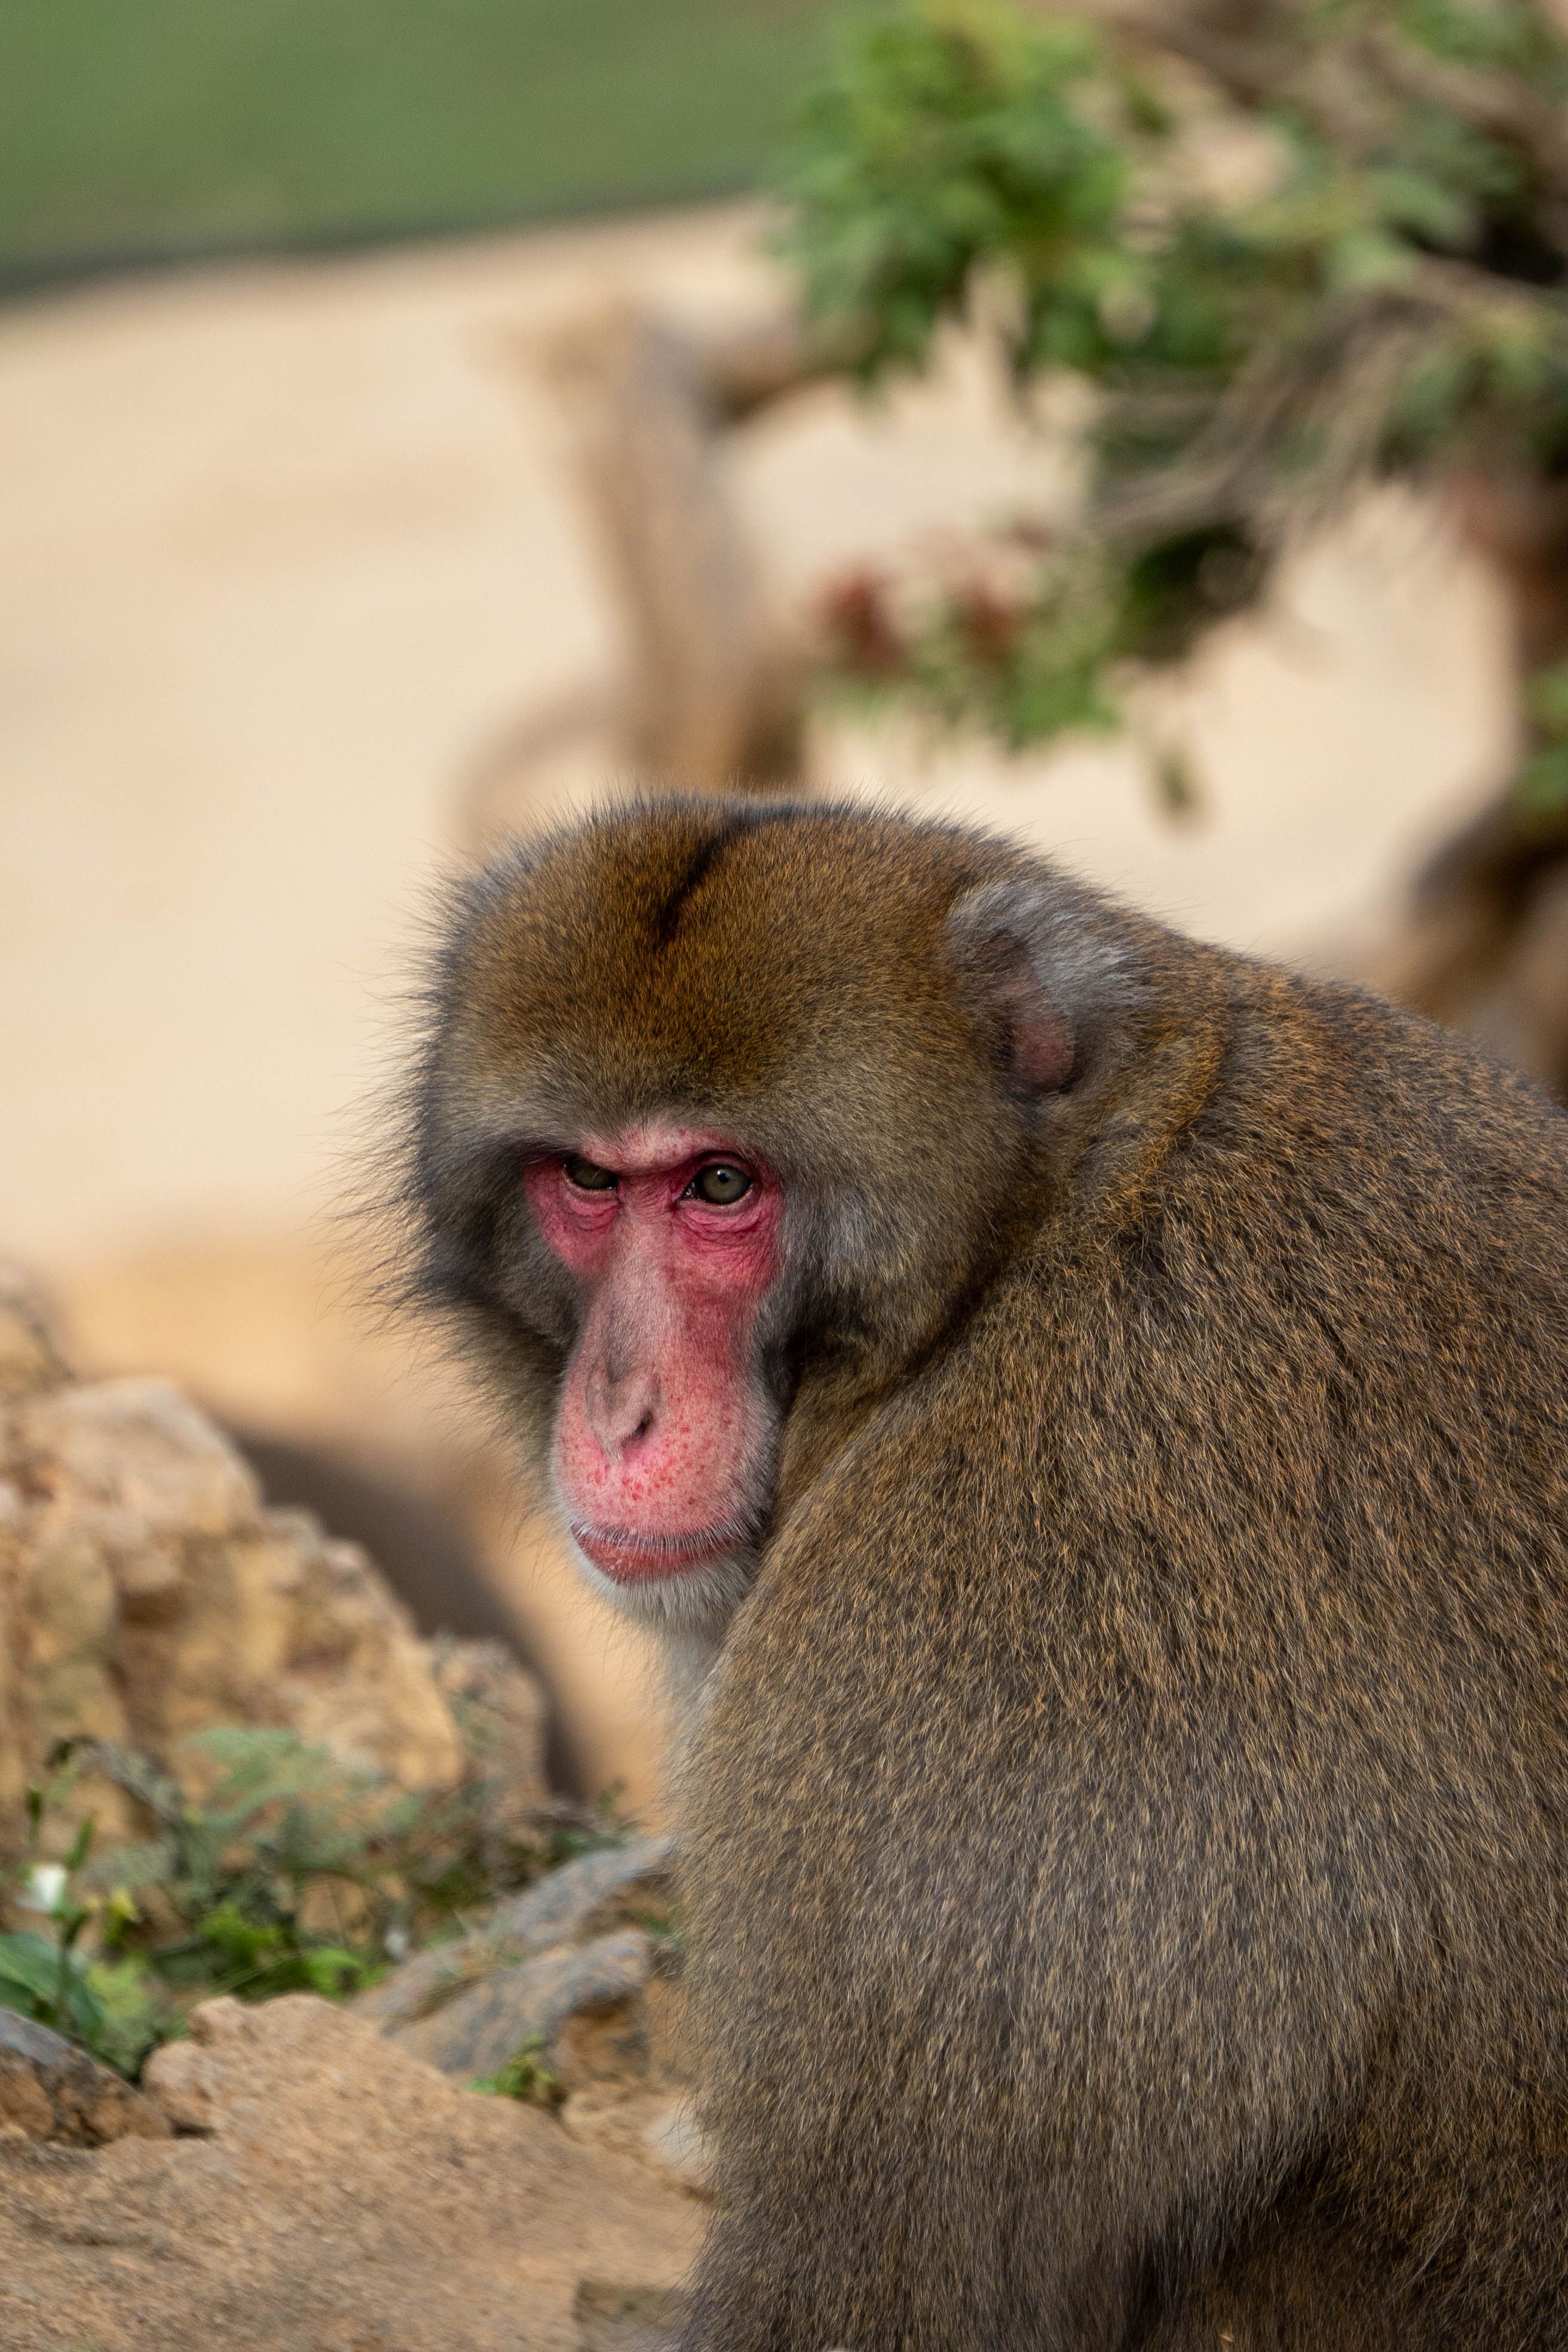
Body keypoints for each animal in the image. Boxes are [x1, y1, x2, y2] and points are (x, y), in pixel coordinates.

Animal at [399, 795, 1568, 2349]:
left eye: (720, 1184)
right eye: (588, 1180)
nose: (623, 1407)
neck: (1029, 1232)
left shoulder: (980, 1606)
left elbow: (886, 2280)